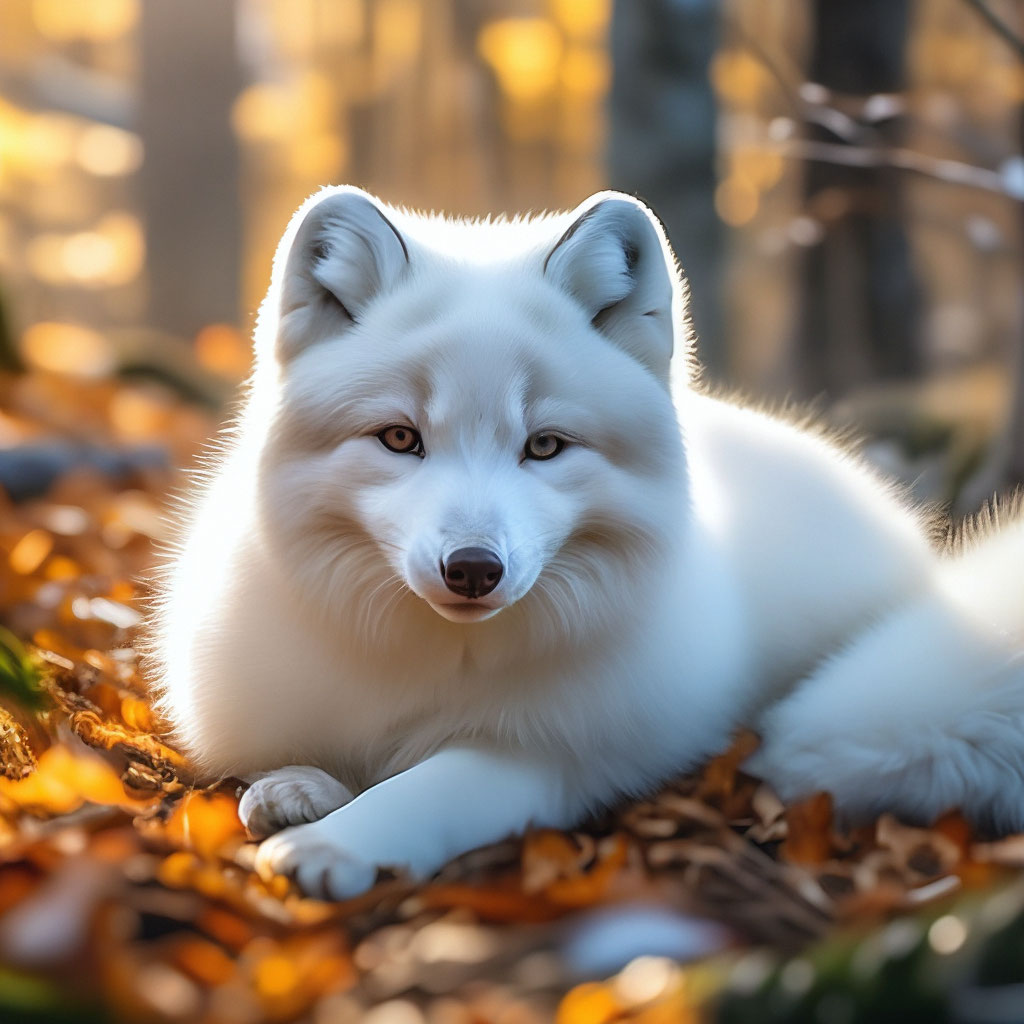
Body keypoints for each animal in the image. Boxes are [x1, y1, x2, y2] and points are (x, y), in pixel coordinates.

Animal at [153, 186, 1024, 900]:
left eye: (544, 446)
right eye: (400, 438)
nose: (474, 569)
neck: (438, 665)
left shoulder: (553, 758)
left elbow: (428, 787)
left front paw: (339, 840)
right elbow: (293, 758)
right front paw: (299, 789)